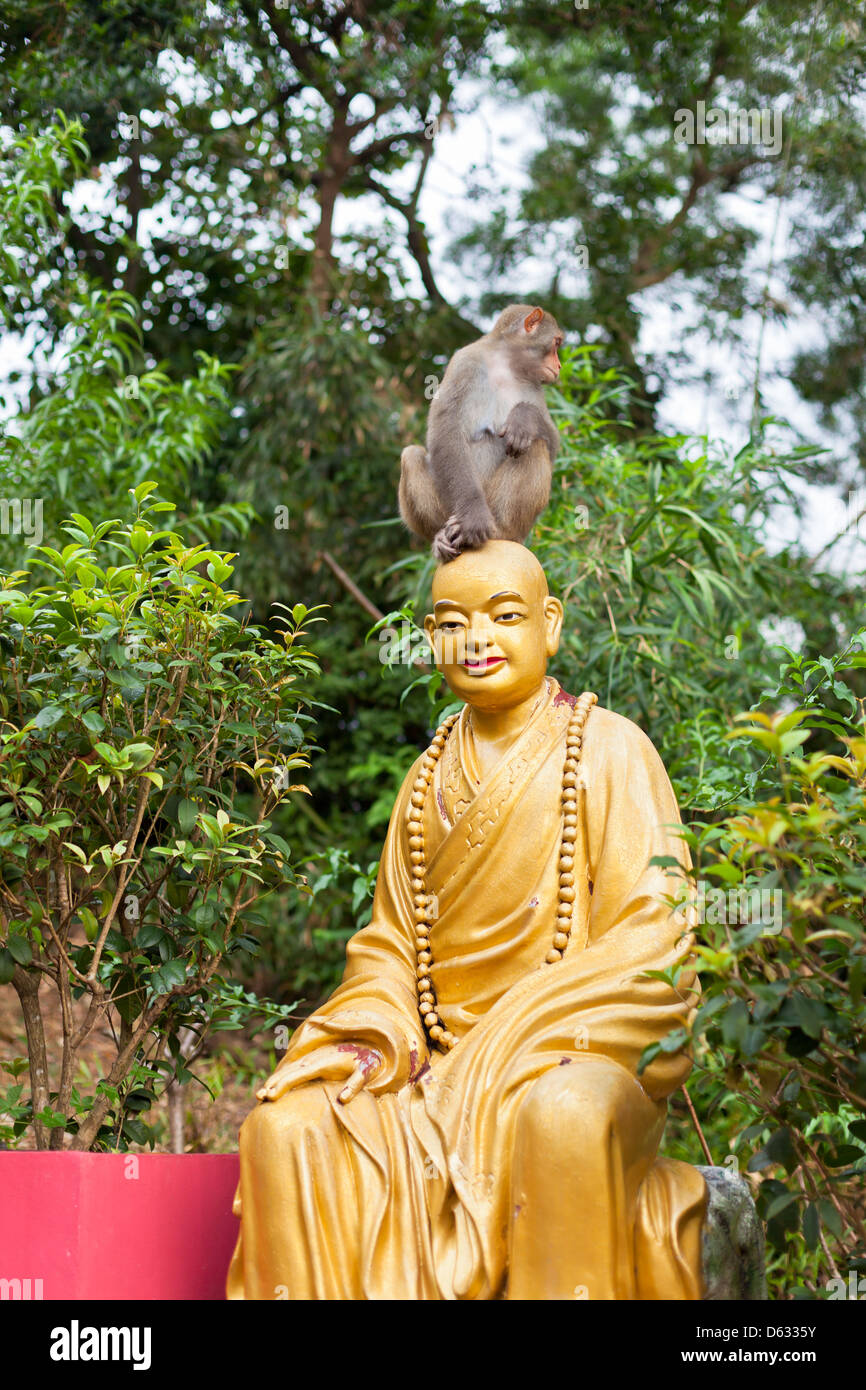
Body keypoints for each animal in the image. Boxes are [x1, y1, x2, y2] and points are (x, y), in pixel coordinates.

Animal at [398, 304, 563, 562]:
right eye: (556, 343)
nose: (559, 366)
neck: (506, 364)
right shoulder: (465, 361)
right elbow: (446, 431)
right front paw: (474, 516)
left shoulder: (534, 386)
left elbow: (552, 443)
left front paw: (524, 418)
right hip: (451, 508)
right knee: (412, 455)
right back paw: (439, 538)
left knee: (534, 445)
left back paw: (503, 531)